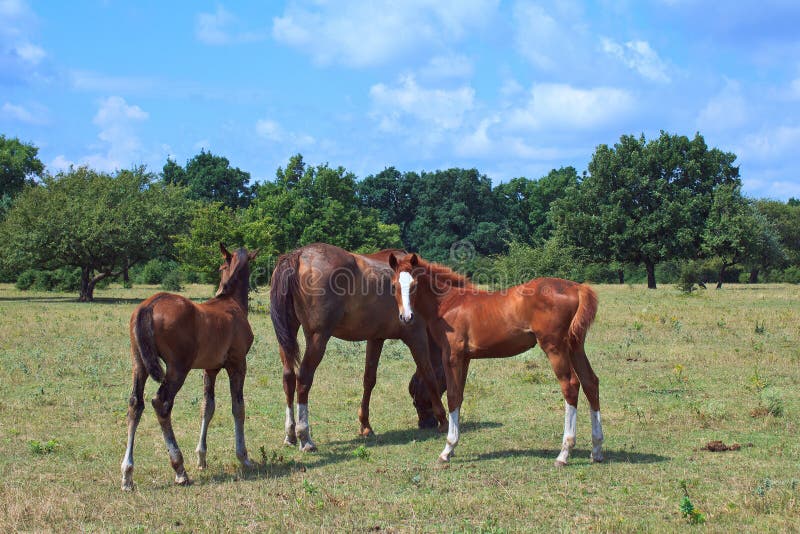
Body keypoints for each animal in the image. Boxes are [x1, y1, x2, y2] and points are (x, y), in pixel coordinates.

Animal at [121, 244, 258, 491]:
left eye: (220, 267)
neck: (231, 303)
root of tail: (149, 305)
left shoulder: (209, 369)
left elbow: (207, 407)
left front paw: (202, 457)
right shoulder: (238, 364)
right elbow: (238, 407)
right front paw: (244, 456)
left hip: (139, 364)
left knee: (135, 404)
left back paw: (127, 474)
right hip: (177, 368)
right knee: (161, 403)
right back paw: (179, 469)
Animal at [269, 243, 448, 452]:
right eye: (444, 381)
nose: (426, 423)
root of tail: (298, 254)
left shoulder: (376, 338)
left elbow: (369, 380)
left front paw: (365, 425)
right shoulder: (416, 336)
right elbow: (428, 374)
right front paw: (444, 420)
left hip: (287, 334)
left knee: (288, 378)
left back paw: (290, 434)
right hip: (317, 338)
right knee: (303, 379)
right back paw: (305, 437)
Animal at [389, 253, 604, 466]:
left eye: (415, 284)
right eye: (394, 285)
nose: (406, 317)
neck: (449, 304)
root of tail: (578, 288)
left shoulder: (452, 356)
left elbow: (452, 397)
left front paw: (447, 450)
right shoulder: (465, 358)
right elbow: (459, 396)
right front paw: (452, 447)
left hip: (555, 347)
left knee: (571, 385)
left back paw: (564, 453)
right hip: (575, 347)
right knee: (590, 382)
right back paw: (597, 450)